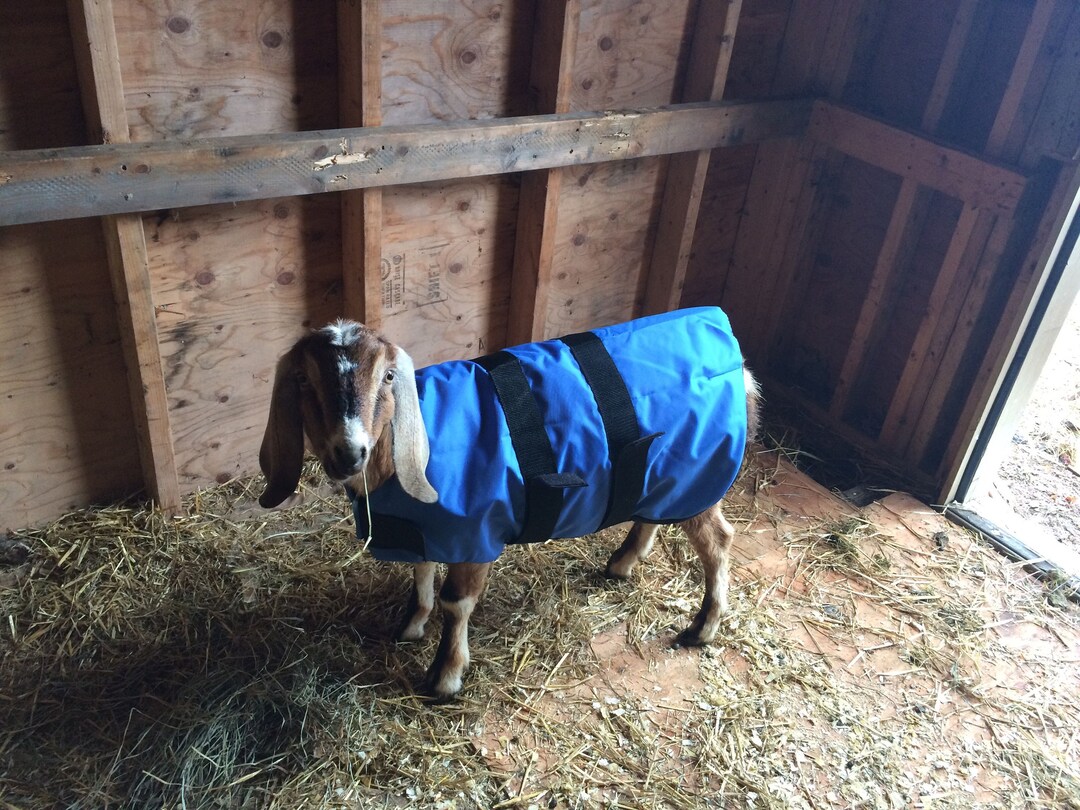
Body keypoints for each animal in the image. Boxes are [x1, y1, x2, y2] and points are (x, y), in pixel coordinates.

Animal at [259, 307, 760, 700]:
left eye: (387, 376)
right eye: (303, 378)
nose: (349, 452)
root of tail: (740, 367)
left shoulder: (475, 533)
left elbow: (456, 602)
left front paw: (445, 677)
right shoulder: (428, 529)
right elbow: (420, 574)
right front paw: (411, 625)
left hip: (700, 469)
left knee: (718, 540)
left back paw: (703, 627)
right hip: (667, 470)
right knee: (653, 512)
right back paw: (622, 564)